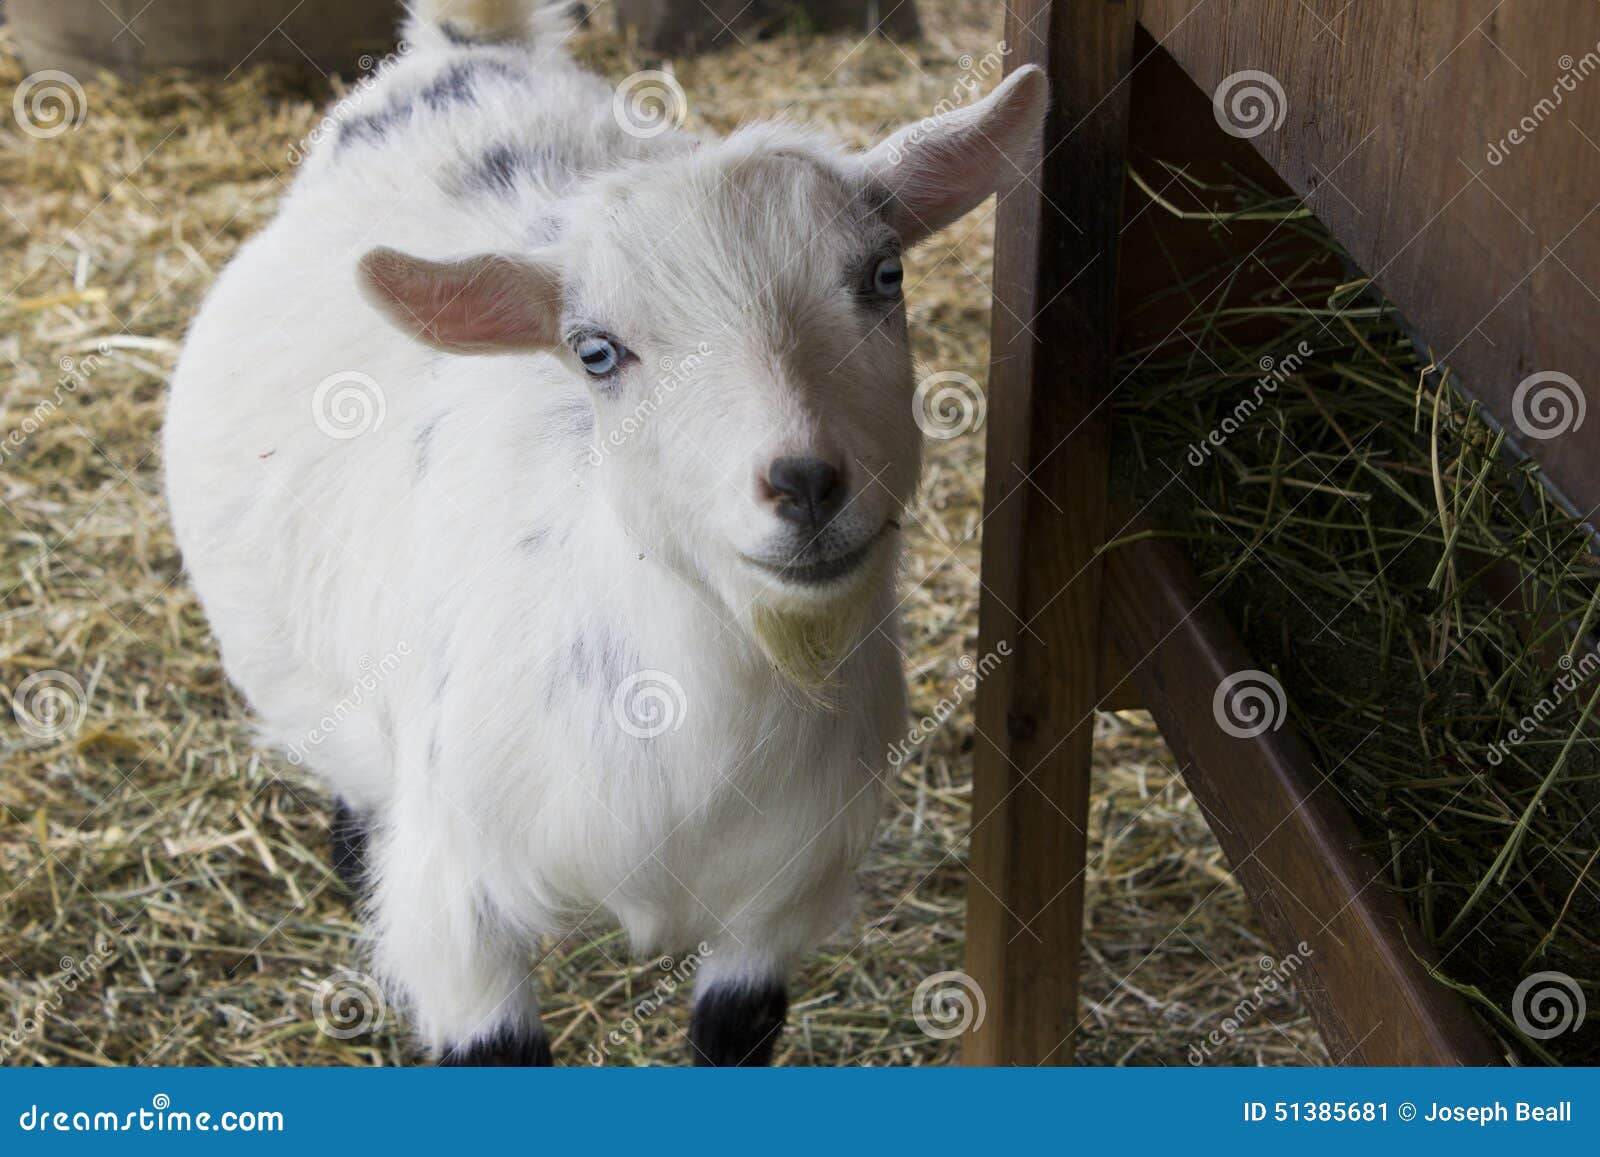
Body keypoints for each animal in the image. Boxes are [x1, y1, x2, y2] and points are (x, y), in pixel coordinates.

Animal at [163, 0, 1046, 1065]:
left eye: (885, 274)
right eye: (596, 352)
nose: (804, 483)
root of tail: (467, 55)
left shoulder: (776, 898)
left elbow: (735, 1029)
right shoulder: (458, 915)